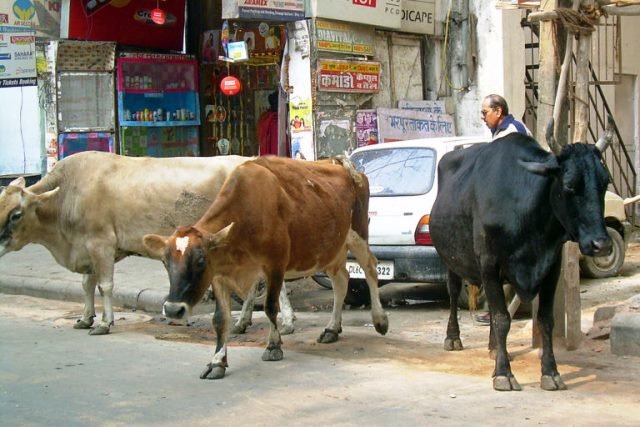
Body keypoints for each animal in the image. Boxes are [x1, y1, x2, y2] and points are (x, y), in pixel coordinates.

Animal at [0, 151, 295, 335]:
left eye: (16, 214)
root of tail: (253, 160)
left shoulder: (100, 243)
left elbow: (105, 285)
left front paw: (104, 323)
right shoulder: (89, 249)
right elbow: (87, 284)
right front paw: (85, 318)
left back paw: (286, 321)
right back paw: (244, 322)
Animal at [143, 155, 389, 380]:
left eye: (200, 260)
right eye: (165, 262)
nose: (172, 310)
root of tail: (337, 161)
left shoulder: (275, 264)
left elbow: (271, 307)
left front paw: (273, 346)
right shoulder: (220, 274)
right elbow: (220, 319)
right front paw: (217, 361)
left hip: (357, 234)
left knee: (370, 267)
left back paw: (379, 320)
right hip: (332, 249)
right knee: (341, 280)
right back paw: (331, 329)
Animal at [430, 132, 612, 391]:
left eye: (605, 182)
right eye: (569, 185)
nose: (601, 244)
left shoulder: (551, 268)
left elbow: (545, 320)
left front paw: (551, 372)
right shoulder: (489, 264)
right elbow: (501, 319)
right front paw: (503, 374)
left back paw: (494, 347)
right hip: (450, 260)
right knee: (453, 292)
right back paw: (453, 337)